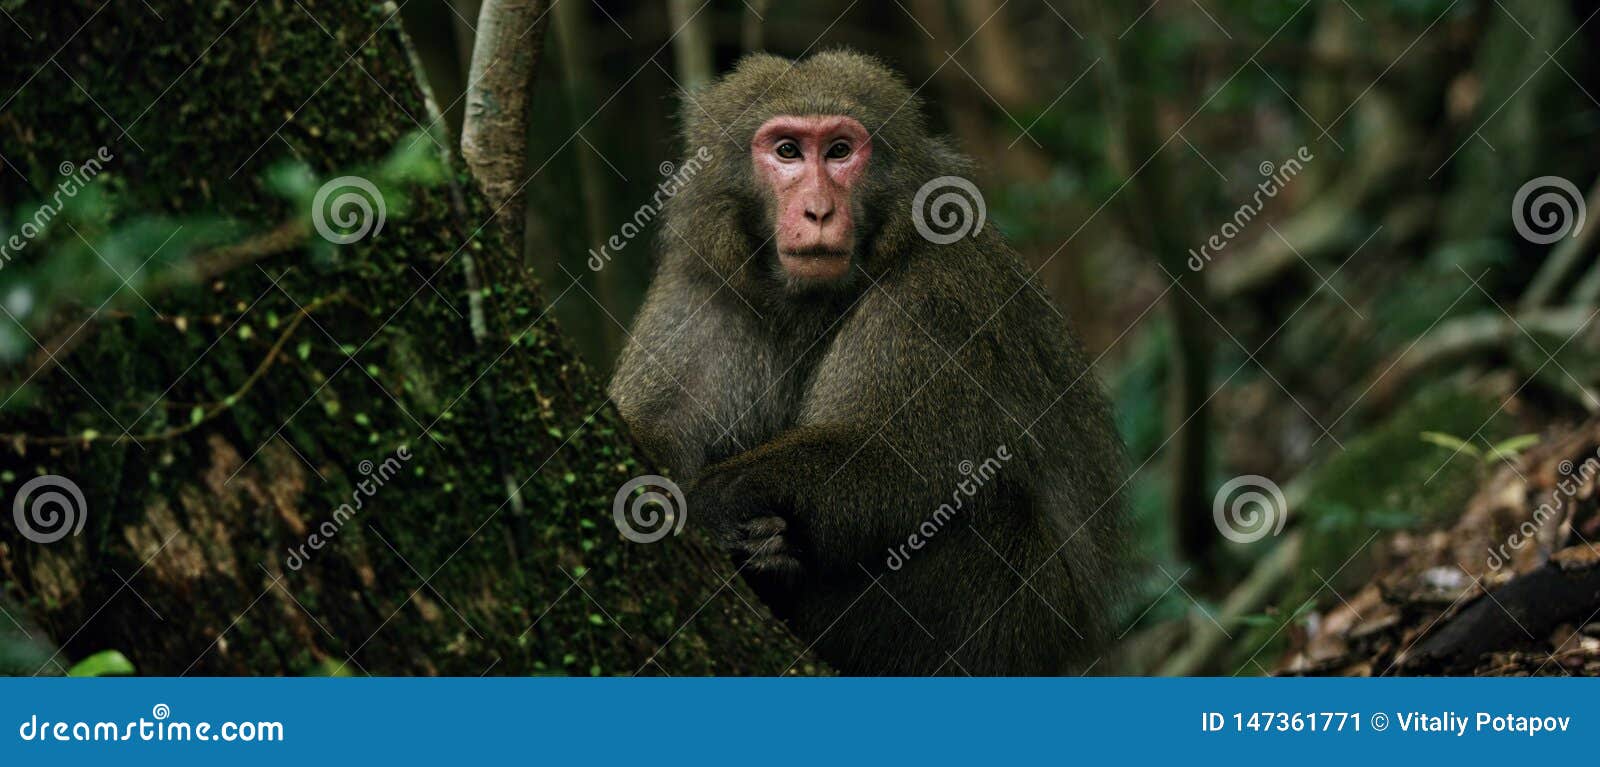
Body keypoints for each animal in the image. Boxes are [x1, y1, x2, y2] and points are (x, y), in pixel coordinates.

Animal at [609, 50, 1130, 675]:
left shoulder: (936, 293)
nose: (818, 210)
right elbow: (652, 431)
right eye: (787, 151)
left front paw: (708, 507)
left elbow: (891, 458)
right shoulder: (698, 291)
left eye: (839, 151)